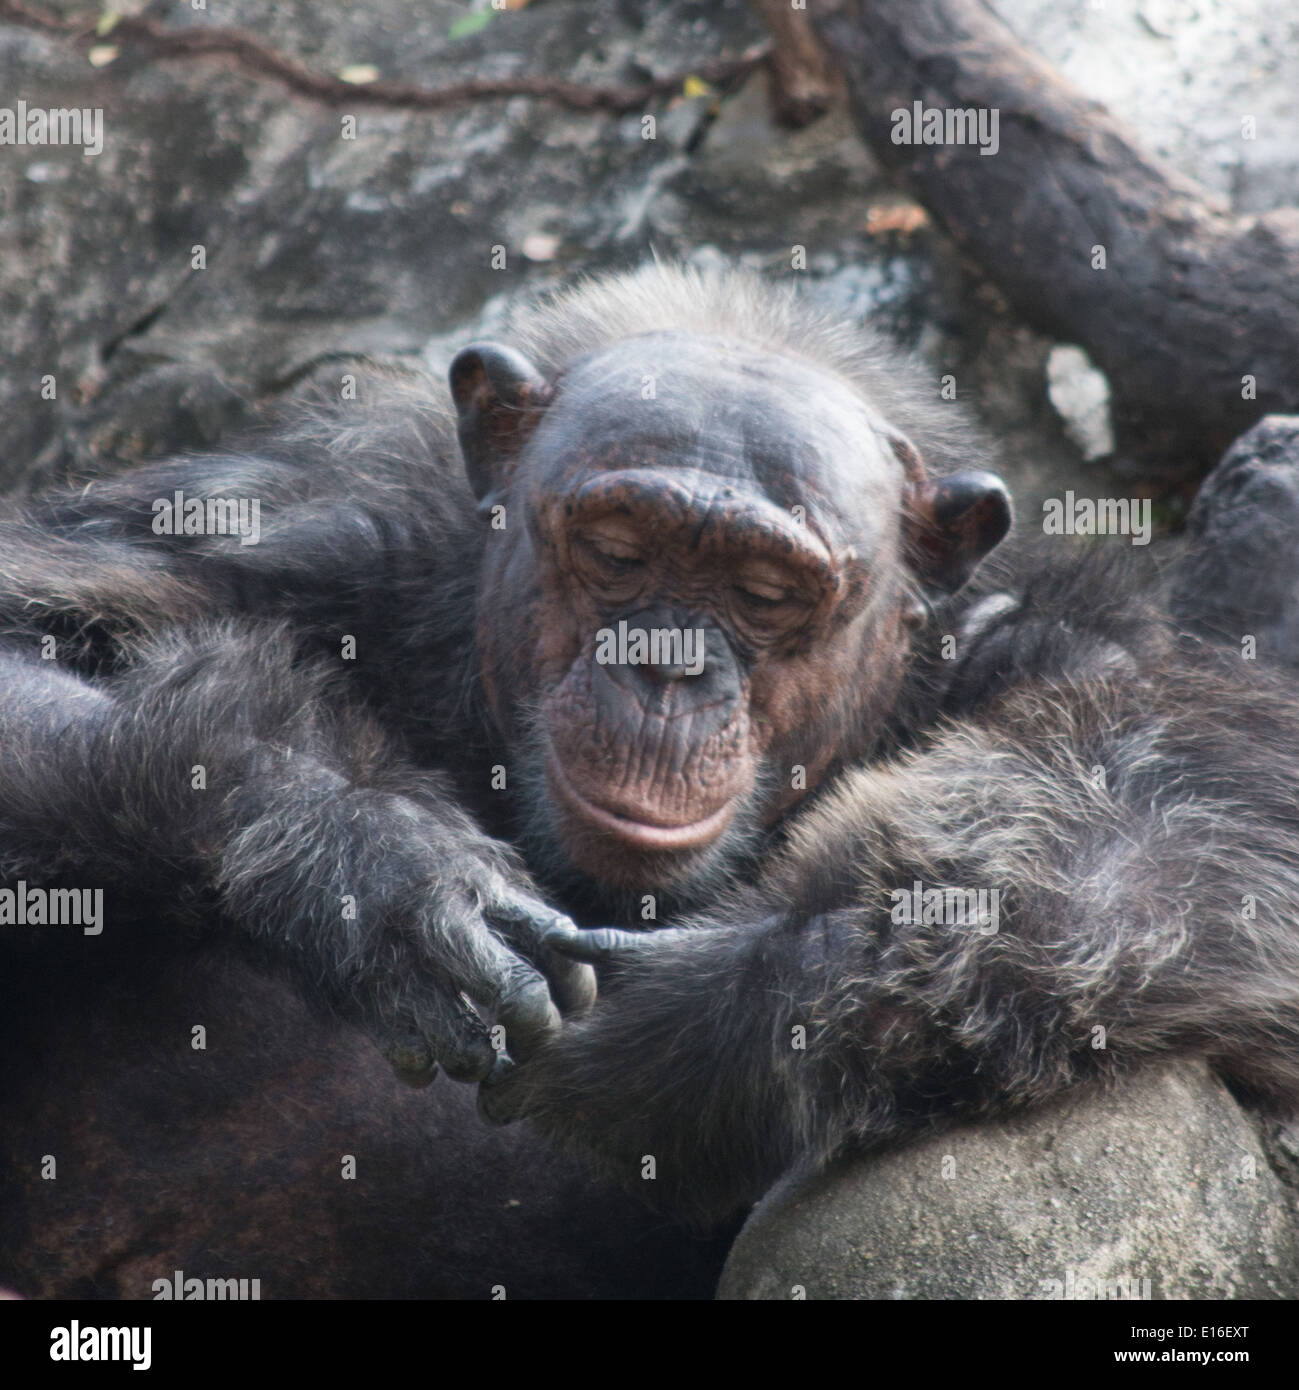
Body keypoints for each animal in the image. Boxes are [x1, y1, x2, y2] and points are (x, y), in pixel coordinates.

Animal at [1, 263, 1298, 1296]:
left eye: (767, 591)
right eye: (618, 548)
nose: (666, 663)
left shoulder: (1056, 646)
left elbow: (1196, 801)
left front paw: (713, 1012)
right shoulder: (313, 518)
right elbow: (41, 617)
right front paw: (371, 867)